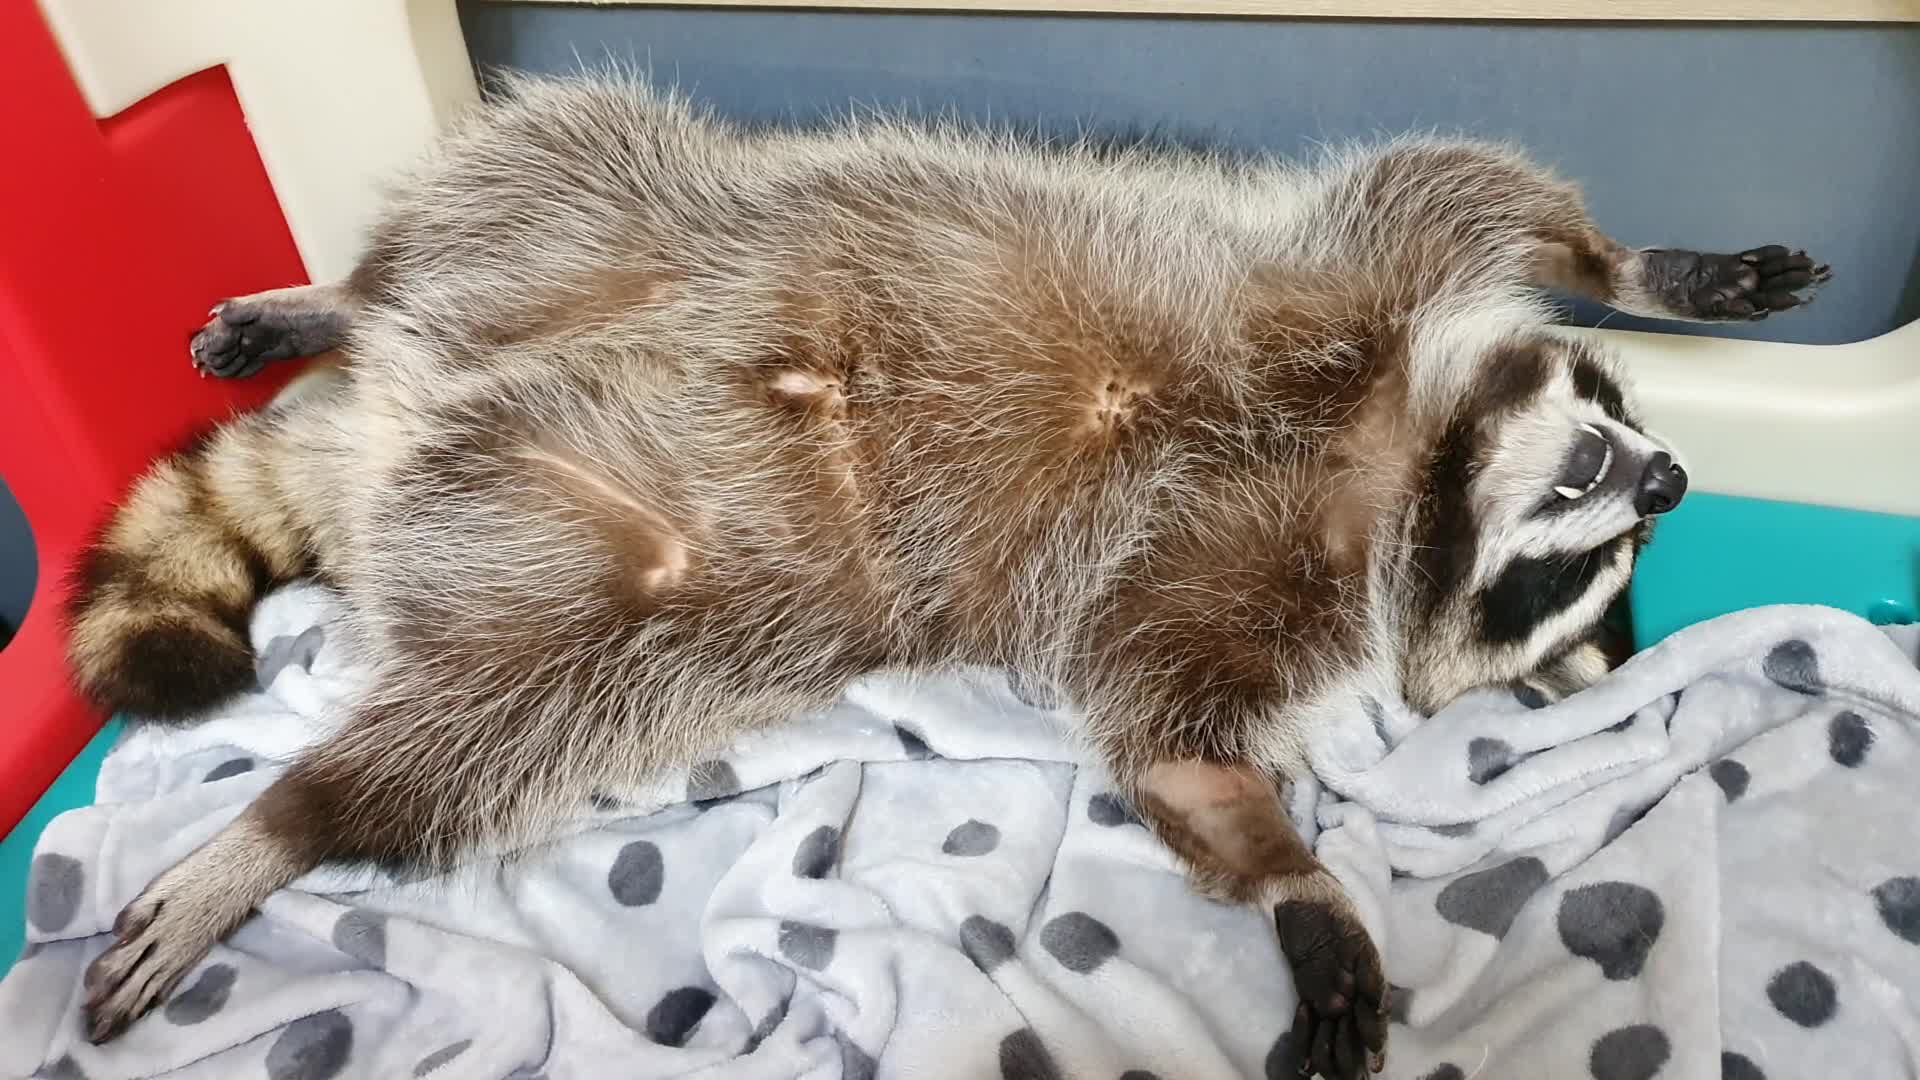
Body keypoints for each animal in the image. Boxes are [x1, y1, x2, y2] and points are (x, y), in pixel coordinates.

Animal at [66, 73, 1827, 1075]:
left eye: (1592, 573)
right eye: (1594, 496)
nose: (1667, 473)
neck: (1394, 462)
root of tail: (389, 420)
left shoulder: (1234, 574)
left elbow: (1163, 723)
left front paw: (1289, 878)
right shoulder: (1354, 283)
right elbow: (1468, 190)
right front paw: (1654, 265)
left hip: (621, 583)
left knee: (481, 727)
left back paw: (304, 806)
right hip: (610, 227)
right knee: (525, 184)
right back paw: (334, 316)